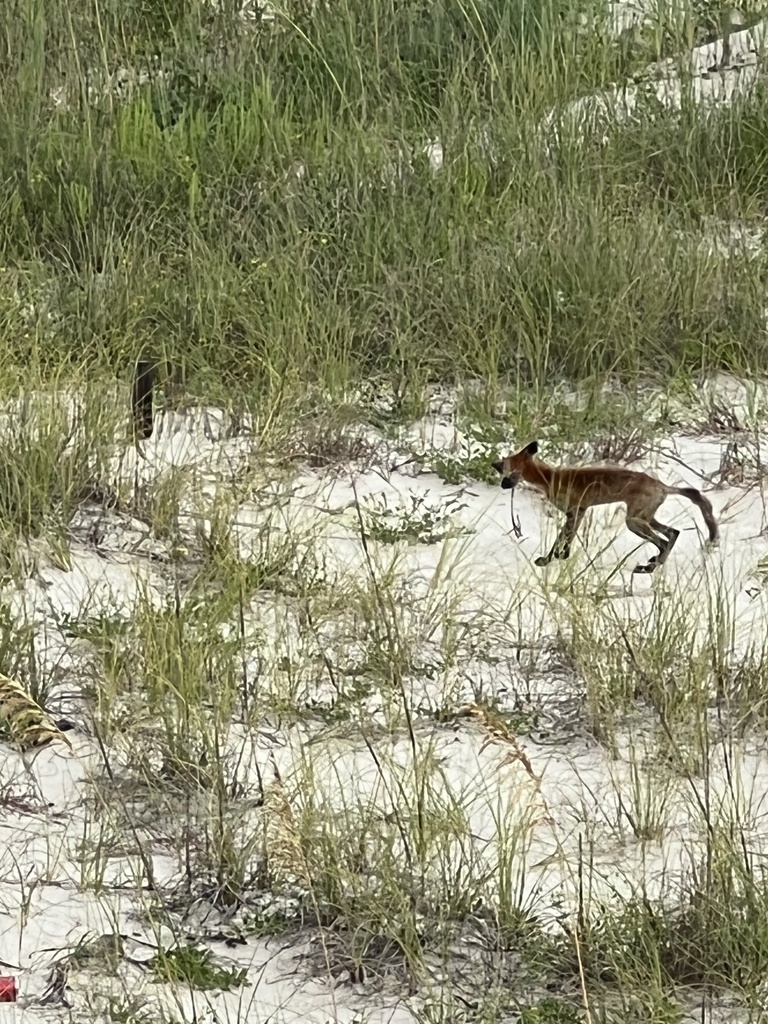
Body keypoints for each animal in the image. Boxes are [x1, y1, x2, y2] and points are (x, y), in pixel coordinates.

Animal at [492, 441, 719, 574]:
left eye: (507, 469)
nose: (503, 484)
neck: (549, 478)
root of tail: (662, 485)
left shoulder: (574, 511)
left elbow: (560, 540)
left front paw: (550, 559)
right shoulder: (578, 512)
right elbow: (565, 540)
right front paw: (560, 557)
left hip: (634, 521)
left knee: (663, 541)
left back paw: (649, 567)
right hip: (645, 517)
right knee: (673, 533)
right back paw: (655, 562)